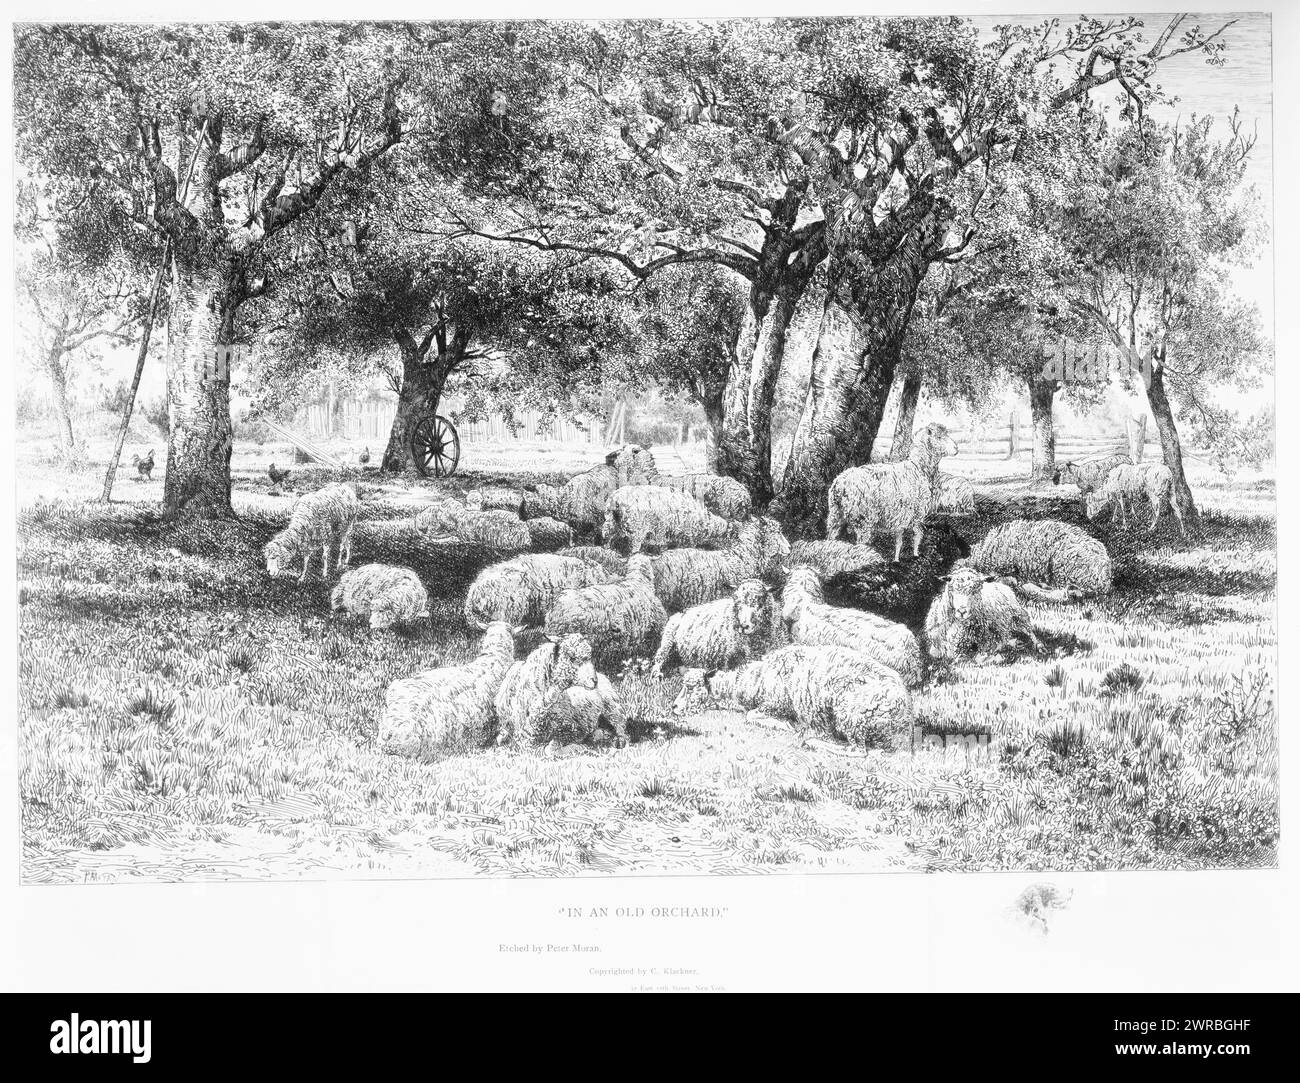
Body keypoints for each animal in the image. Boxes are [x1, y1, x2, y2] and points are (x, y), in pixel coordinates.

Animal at [603, 485, 736, 554]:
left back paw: (607, 548)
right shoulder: (686, 530)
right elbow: (688, 542)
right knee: (635, 541)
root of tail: (616, 499)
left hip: (611, 521)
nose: (731, 548)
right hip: (637, 526)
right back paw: (634, 553)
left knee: (607, 534)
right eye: (731, 535)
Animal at [700, 645, 912, 749]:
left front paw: (784, 725)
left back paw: (813, 742)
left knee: (859, 751)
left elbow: (751, 715)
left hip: (850, 716)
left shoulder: (774, 703)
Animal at [825, 422, 959, 560]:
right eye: (939, 437)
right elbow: (917, 536)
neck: (918, 468)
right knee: (861, 543)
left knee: (831, 537)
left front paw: (896, 559)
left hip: (835, 514)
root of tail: (839, 483)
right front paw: (915, 555)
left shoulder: (901, 516)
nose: (956, 448)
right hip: (863, 518)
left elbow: (899, 541)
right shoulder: (917, 513)